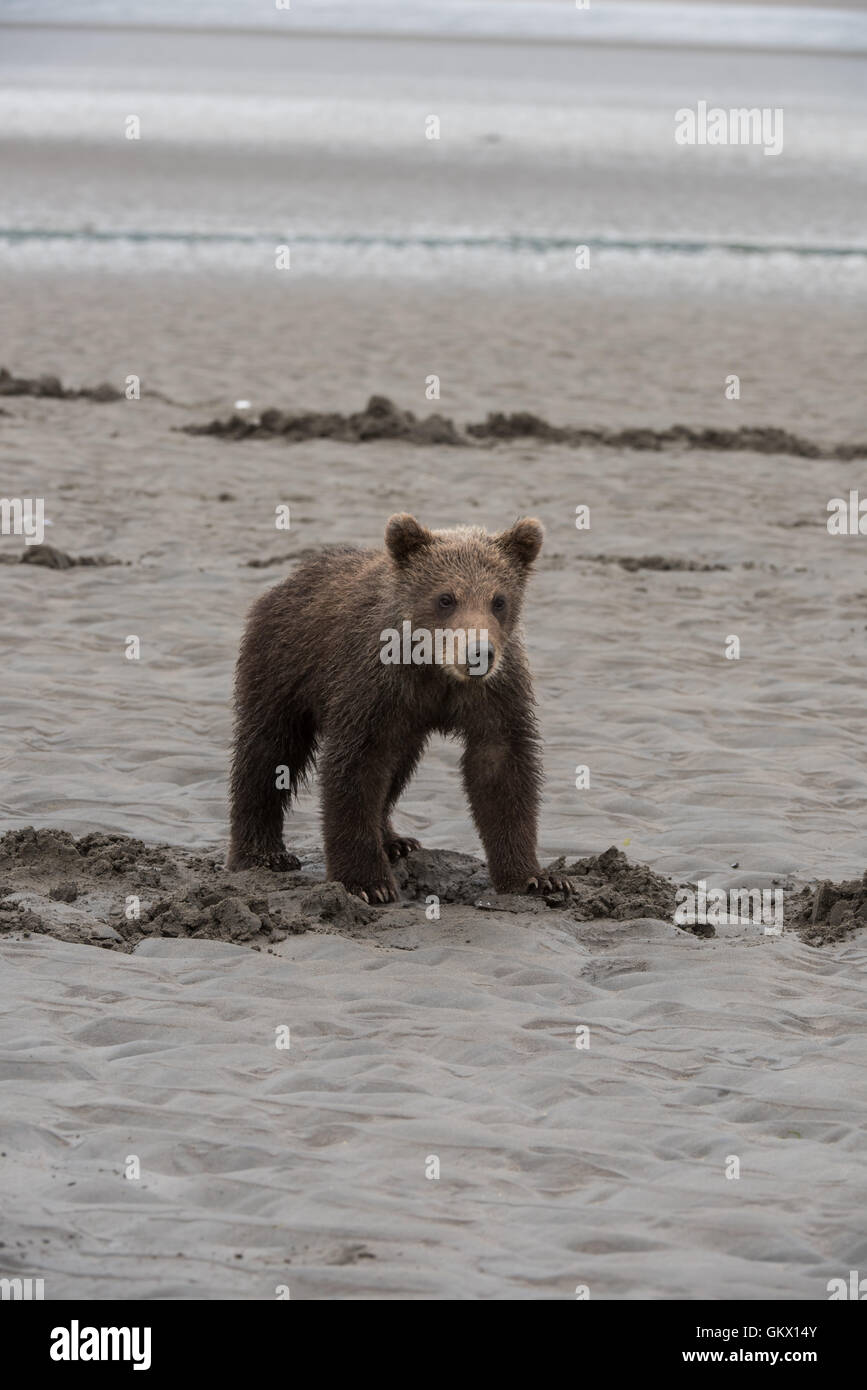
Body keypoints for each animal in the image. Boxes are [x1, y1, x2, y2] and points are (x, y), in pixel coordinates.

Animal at [227, 514, 572, 903]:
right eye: (446, 598)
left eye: (499, 600)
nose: (479, 653)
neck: (434, 669)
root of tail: (287, 581)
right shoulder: (373, 686)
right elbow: (357, 768)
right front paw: (367, 883)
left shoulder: (496, 693)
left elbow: (502, 767)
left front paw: (535, 877)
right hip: (281, 665)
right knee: (268, 751)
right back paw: (261, 854)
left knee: (397, 765)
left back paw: (394, 841)